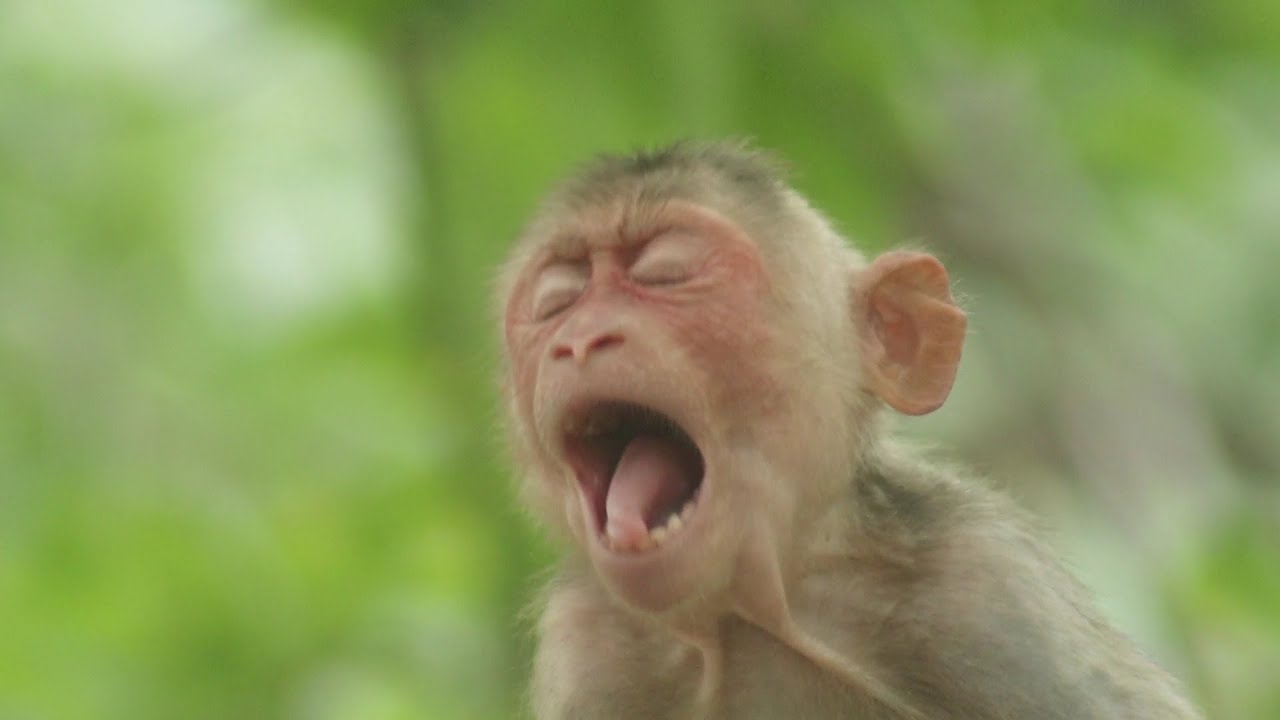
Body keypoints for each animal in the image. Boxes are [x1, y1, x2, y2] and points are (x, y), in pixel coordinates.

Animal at [496, 140, 1202, 719]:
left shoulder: (990, 594)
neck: (753, 613)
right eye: (556, 302)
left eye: (667, 273)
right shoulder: (588, 647)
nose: (580, 340)